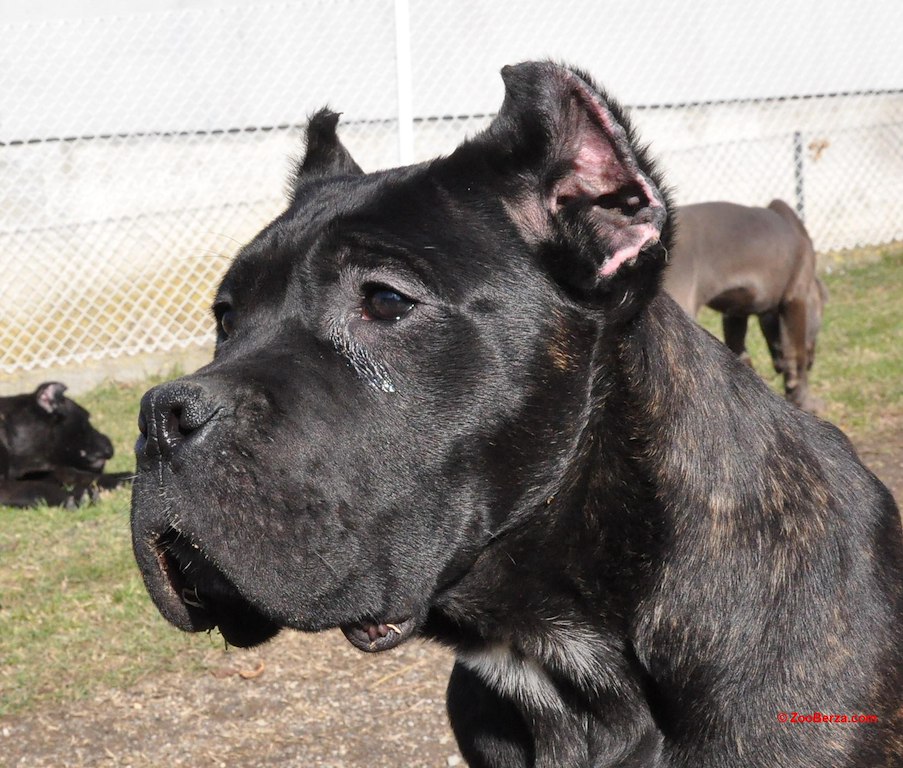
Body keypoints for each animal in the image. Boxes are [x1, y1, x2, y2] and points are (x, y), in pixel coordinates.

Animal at [0, 380, 132, 508]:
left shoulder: (40, 472)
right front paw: (75, 496)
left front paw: (120, 478)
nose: (110, 448)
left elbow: (77, 474)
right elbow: (35, 488)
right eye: (86, 421)